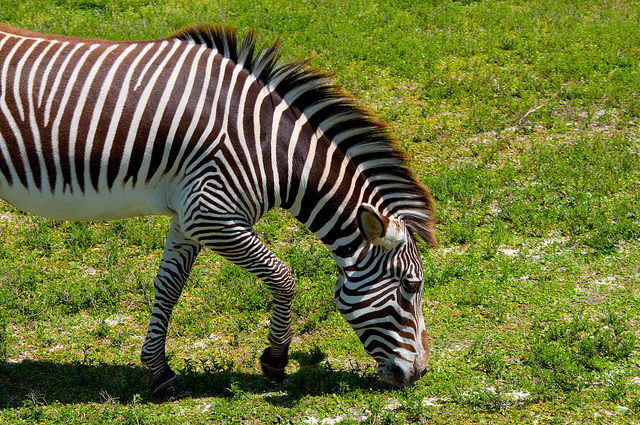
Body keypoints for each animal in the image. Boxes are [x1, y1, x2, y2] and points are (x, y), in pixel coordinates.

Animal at [0, 23, 436, 395]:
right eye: (411, 286)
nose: (420, 374)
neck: (270, 150)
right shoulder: (212, 214)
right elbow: (282, 277)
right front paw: (275, 359)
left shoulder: (188, 217)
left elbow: (169, 286)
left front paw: (159, 372)